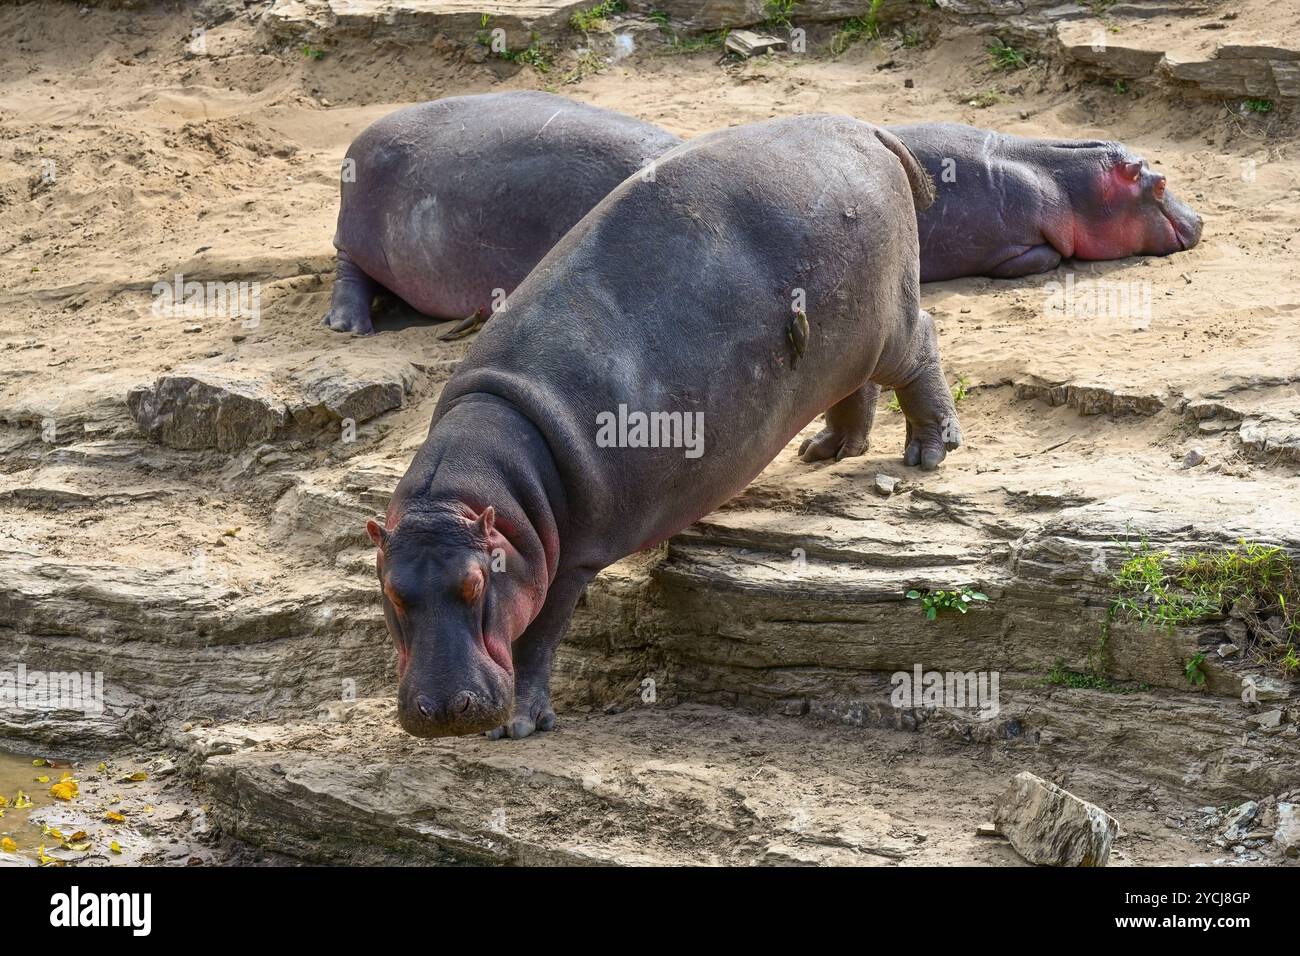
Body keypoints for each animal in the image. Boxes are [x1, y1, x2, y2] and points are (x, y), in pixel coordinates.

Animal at [366, 115, 961, 740]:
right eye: (392, 592)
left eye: (476, 585)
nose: (440, 712)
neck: (484, 495)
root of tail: (867, 129)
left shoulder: (570, 559)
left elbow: (537, 640)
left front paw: (519, 726)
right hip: (849, 338)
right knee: (857, 383)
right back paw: (827, 450)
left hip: (892, 321)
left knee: (921, 345)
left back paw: (928, 452)